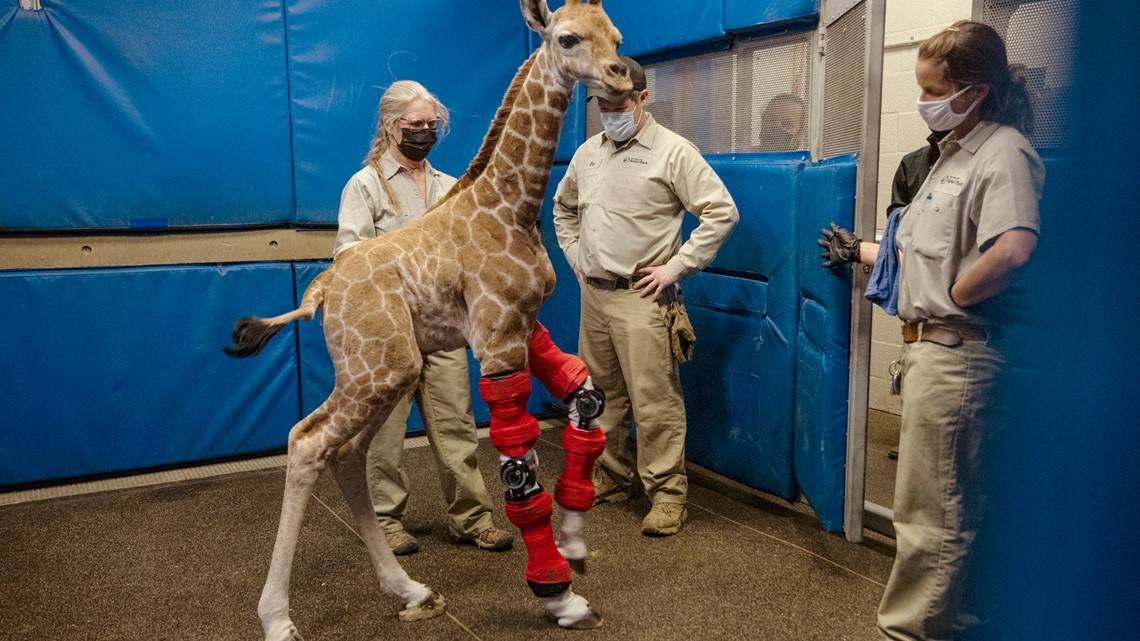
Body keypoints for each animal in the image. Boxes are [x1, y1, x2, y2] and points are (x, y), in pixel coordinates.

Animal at [223, 1, 631, 638]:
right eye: (567, 38)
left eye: (615, 36)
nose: (624, 77)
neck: (512, 208)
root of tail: (320, 289)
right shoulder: (496, 339)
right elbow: (519, 469)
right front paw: (559, 594)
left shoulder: (522, 325)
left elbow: (585, 401)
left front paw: (575, 543)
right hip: (377, 368)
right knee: (308, 441)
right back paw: (277, 619)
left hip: (390, 372)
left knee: (346, 454)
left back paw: (410, 589)